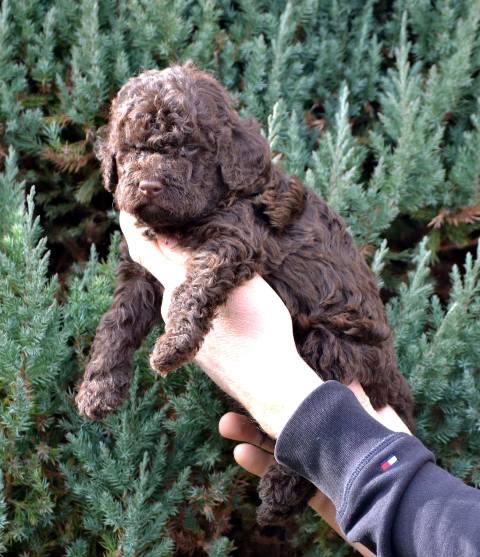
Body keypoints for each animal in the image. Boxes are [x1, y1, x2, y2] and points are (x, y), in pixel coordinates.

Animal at [75, 62, 412, 524]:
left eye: (190, 148)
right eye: (131, 148)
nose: (148, 186)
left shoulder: (233, 241)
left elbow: (193, 288)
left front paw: (173, 346)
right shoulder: (139, 272)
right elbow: (116, 325)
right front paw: (99, 388)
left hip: (330, 346)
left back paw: (278, 493)